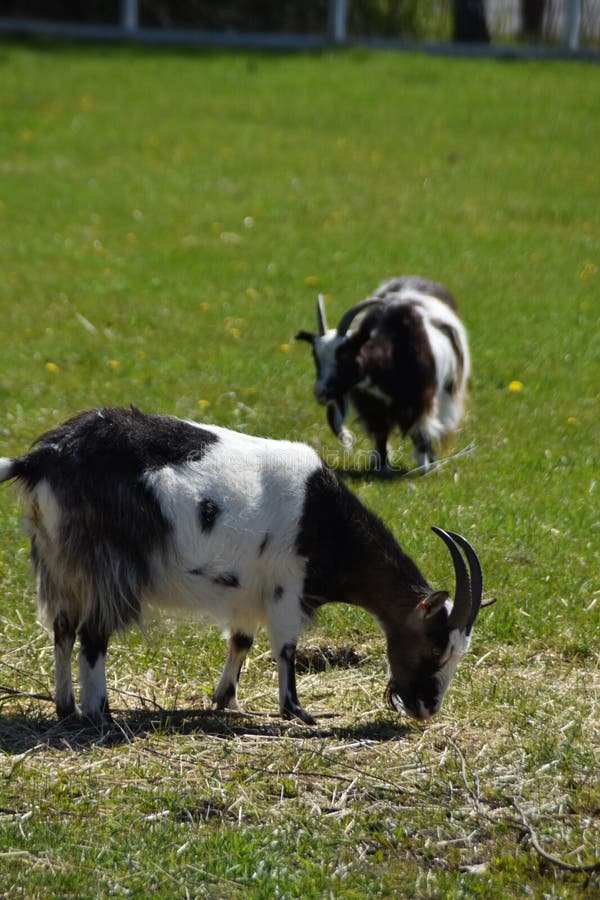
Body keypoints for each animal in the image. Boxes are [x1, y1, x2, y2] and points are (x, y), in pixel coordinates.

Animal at [0, 406, 486, 724]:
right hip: (106, 566)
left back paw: (65, 706)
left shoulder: (248, 592)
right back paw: (98, 711)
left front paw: (225, 700)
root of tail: (43, 457)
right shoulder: (286, 584)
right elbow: (286, 648)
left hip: (61, 565)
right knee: (92, 634)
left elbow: (241, 641)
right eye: (436, 646)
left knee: (62, 629)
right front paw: (298, 713)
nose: (427, 708)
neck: (321, 517)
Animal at [296, 276, 470, 471]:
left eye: (345, 354)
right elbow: (380, 433)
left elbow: (420, 432)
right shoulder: (370, 403)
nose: (321, 392)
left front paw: (424, 466)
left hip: (448, 394)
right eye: (315, 355)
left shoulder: (421, 401)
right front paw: (382, 466)